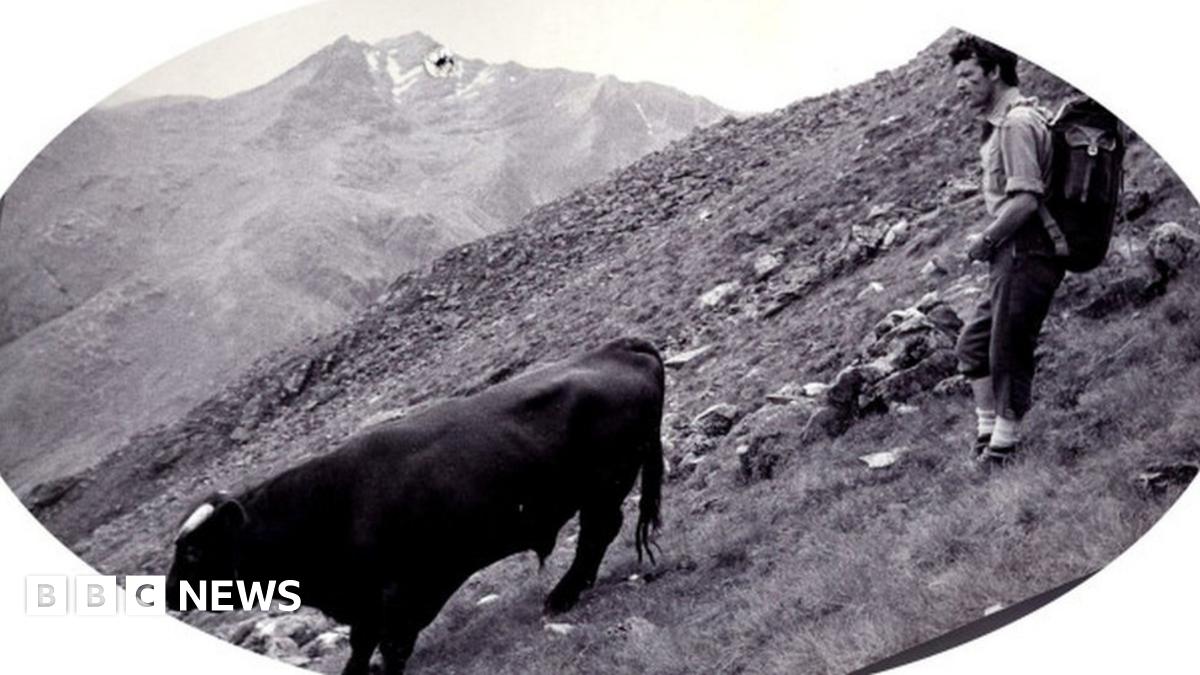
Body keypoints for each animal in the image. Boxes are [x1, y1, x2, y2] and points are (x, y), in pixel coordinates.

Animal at [165, 337, 665, 675]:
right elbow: (362, 640)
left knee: (598, 533)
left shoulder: (405, 586)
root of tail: (619, 348)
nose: (168, 594)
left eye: (193, 550)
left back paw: (561, 596)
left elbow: (390, 640)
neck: (329, 505)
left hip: (604, 486)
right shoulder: (369, 597)